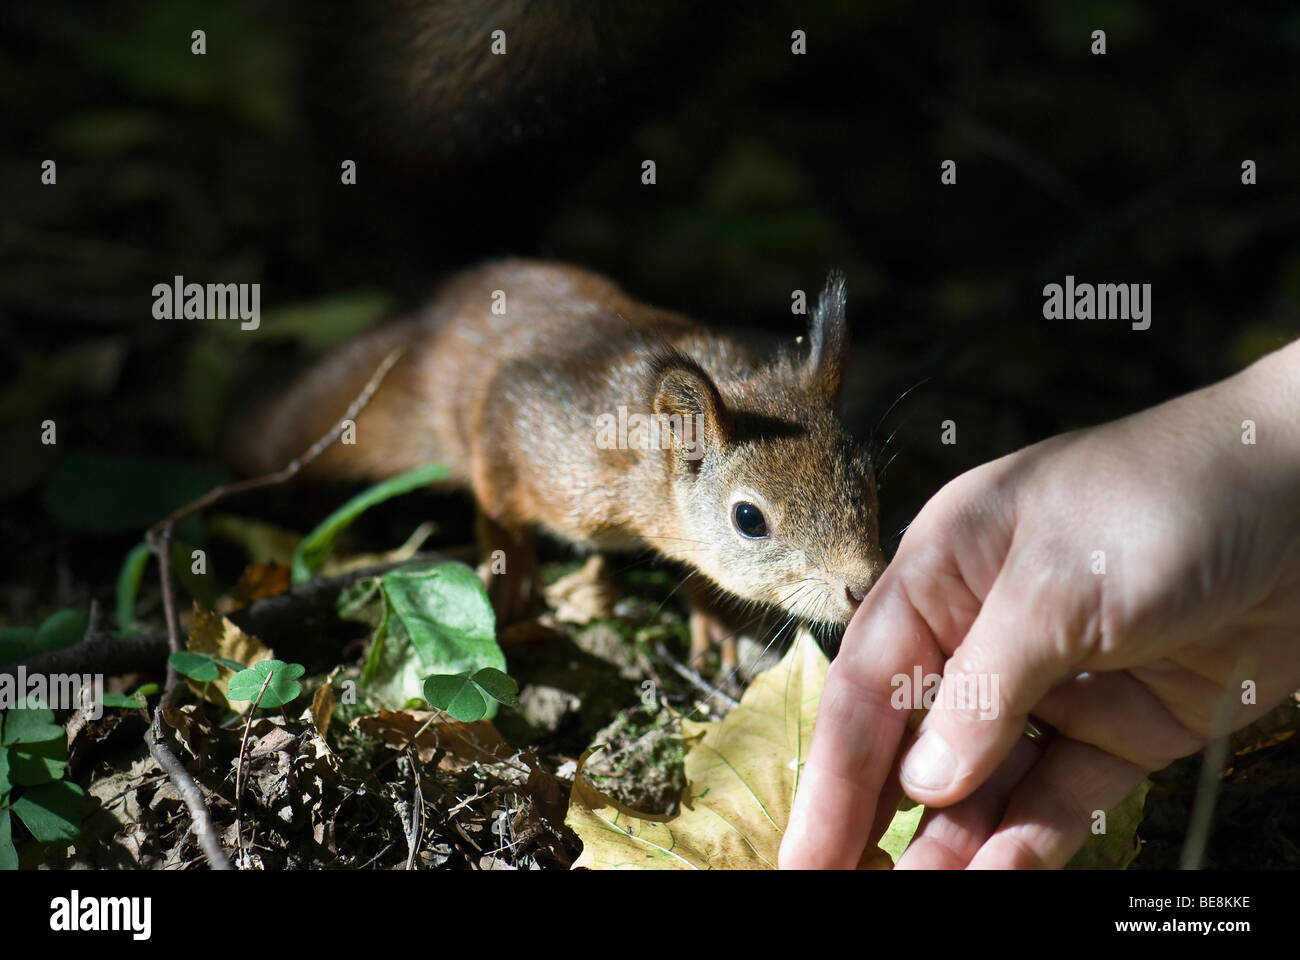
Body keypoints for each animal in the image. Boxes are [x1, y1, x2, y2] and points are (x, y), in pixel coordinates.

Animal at [229, 260, 886, 663]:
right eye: (749, 520)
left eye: (870, 480)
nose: (865, 587)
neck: (645, 462)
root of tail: (422, 330)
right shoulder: (532, 427)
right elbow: (498, 498)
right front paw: (511, 572)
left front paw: (715, 619)